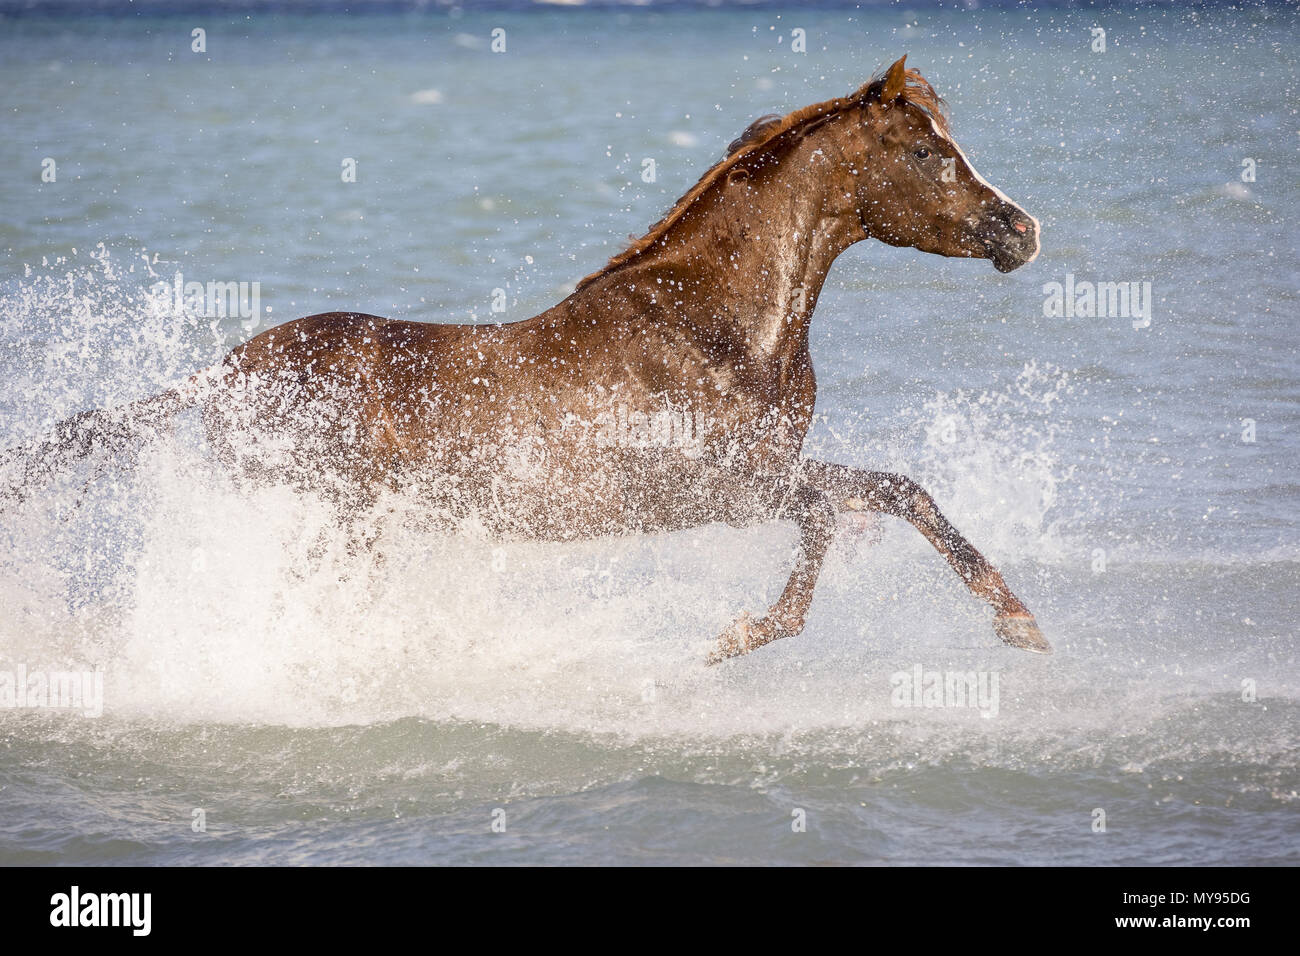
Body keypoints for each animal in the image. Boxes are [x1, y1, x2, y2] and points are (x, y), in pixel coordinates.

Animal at [2, 55, 1050, 663]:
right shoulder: (712, 489)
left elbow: (895, 493)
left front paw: (1015, 620)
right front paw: (741, 636)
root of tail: (219, 373)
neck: (715, 327)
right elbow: (836, 515)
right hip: (330, 517)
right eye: (929, 153)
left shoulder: (767, 471)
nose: (1022, 230)